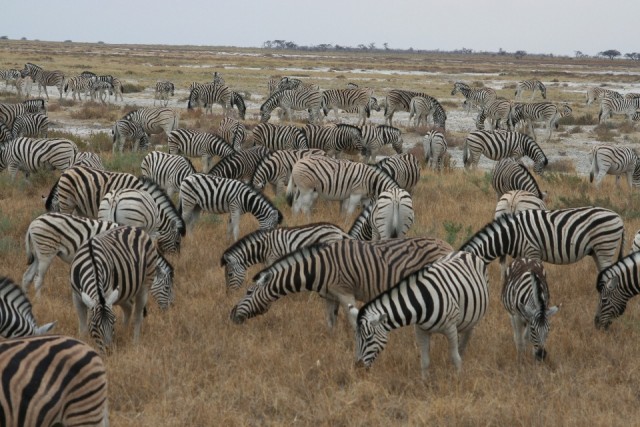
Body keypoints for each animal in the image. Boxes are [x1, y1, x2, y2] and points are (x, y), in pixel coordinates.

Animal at [230, 237, 453, 330]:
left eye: (248, 292)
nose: (231, 315)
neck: (317, 268)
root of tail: (446, 245)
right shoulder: (329, 298)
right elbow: (330, 323)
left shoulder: (346, 294)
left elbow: (353, 321)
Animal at [352, 251, 488, 376]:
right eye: (356, 337)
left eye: (369, 338)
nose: (358, 368)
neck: (421, 302)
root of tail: (463, 252)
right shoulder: (421, 330)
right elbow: (425, 361)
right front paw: (425, 383)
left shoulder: (450, 329)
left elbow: (455, 359)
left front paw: (458, 379)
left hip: (472, 318)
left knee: (466, 338)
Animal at [460, 206, 625, 287]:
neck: (512, 234)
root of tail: (619, 217)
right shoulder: (523, 255)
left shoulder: (532, 250)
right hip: (597, 250)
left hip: (605, 246)